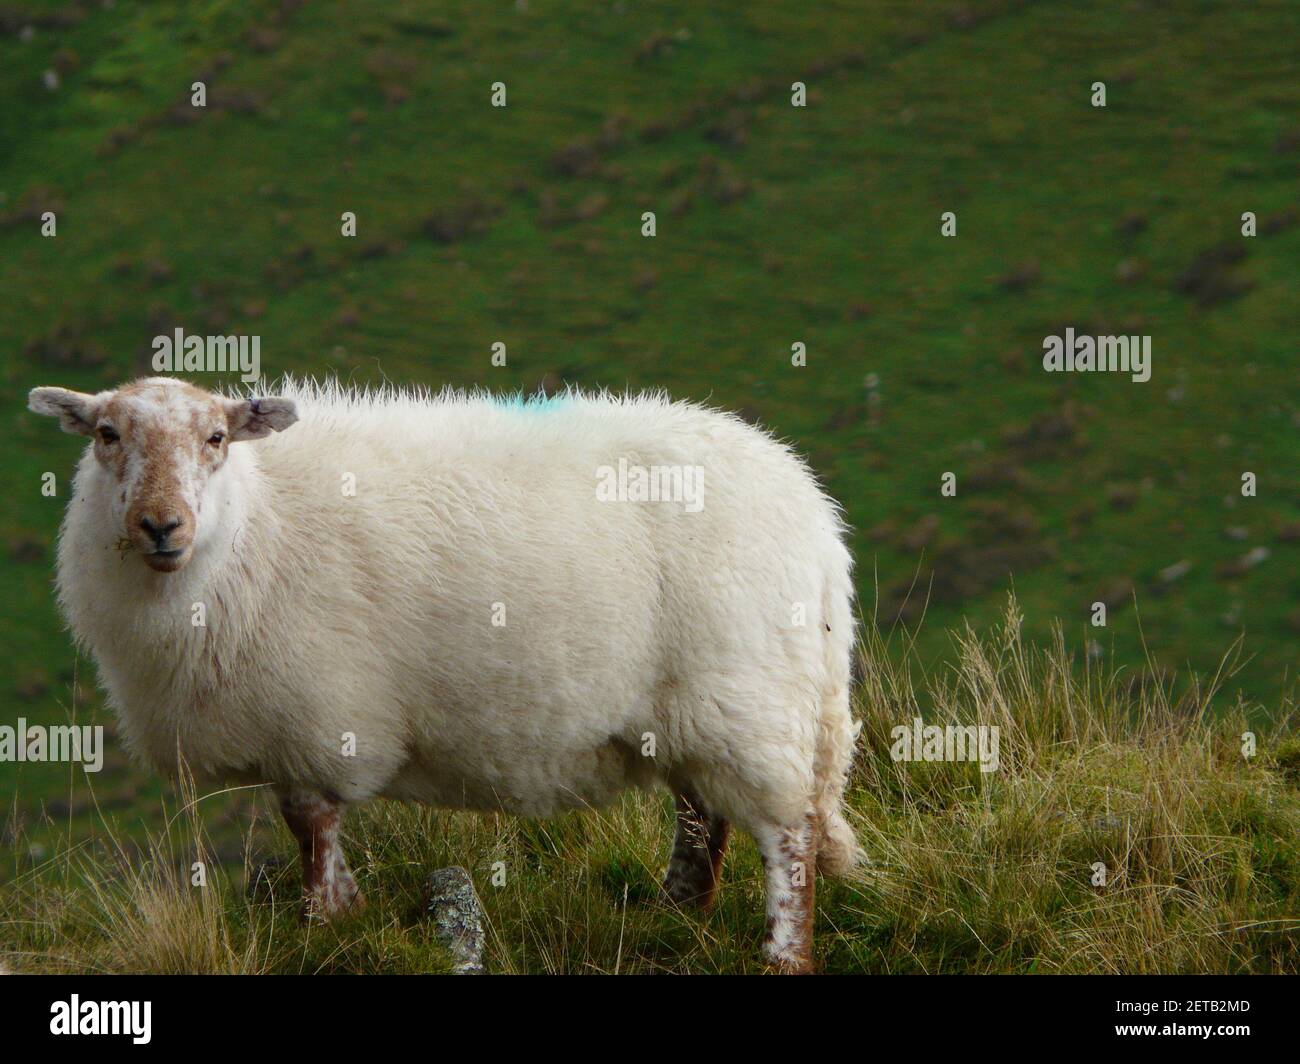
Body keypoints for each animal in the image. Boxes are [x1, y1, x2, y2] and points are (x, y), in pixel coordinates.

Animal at [28, 375, 862, 973]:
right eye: (107, 435)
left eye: (216, 437)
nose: (160, 526)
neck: (250, 525)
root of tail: (817, 521)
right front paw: (340, 913)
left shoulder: (313, 717)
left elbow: (311, 827)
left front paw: (323, 923)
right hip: (692, 711)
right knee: (702, 819)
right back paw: (674, 916)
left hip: (749, 697)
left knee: (787, 838)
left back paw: (781, 956)